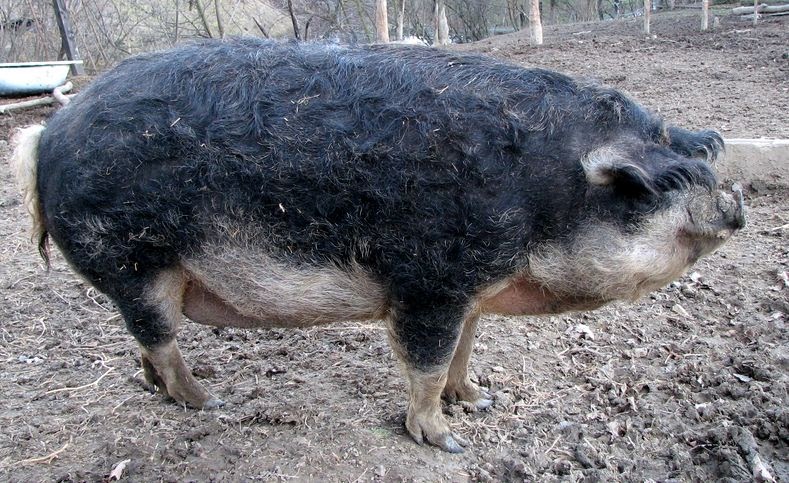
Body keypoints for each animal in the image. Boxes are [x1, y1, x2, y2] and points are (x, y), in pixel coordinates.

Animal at [10, 38, 745, 453]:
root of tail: (45, 135)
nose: (734, 202)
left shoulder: (469, 289)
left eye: (697, 162)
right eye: (650, 186)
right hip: (136, 261)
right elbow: (425, 364)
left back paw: (167, 392)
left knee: (142, 342)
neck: (542, 187)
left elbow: (461, 352)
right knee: (159, 337)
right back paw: (207, 402)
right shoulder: (430, 280)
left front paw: (479, 399)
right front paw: (446, 442)